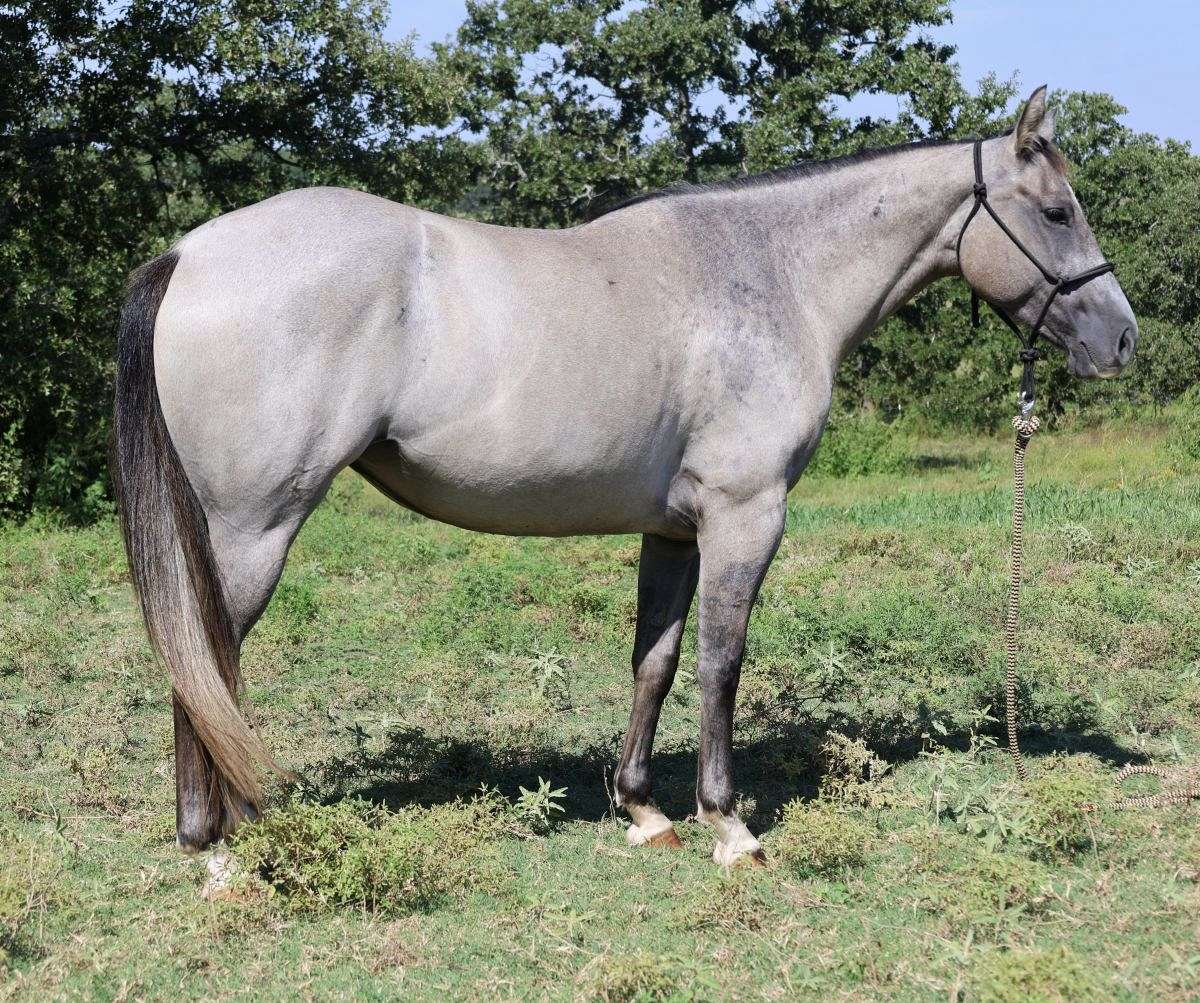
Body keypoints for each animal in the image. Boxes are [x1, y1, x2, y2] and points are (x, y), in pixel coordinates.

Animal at [112, 86, 1137, 873]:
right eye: (1056, 212)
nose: (1122, 339)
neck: (773, 274)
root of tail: (190, 253)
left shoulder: (674, 528)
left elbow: (657, 658)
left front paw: (645, 811)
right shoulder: (745, 518)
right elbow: (723, 662)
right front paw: (730, 826)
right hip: (253, 529)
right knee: (204, 661)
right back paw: (215, 849)